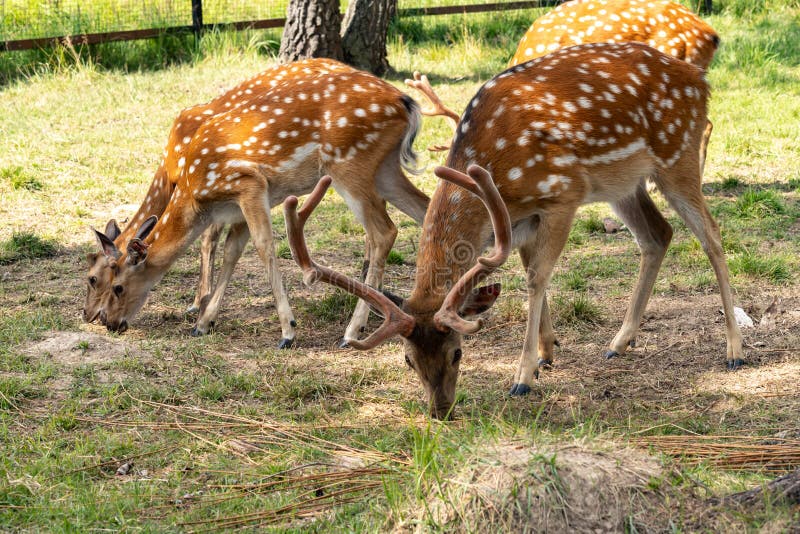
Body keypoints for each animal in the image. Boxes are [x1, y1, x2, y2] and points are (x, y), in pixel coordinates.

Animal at [94, 64, 429, 349]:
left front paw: (288, 331)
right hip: (384, 169)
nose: (104, 320)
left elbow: (263, 244)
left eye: (114, 285)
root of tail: (406, 102)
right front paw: (203, 323)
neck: (192, 191)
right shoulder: (240, 206)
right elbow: (232, 250)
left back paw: (352, 332)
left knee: (383, 232)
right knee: (425, 208)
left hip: (350, 163)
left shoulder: (248, 183)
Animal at [287, 42, 745, 419]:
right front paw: (547, 353)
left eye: (457, 353)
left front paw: (522, 376)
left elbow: (536, 277)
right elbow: (529, 270)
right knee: (658, 235)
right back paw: (619, 343)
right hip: (624, 184)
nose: (440, 410)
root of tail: (701, 79)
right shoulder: (521, 219)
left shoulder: (562, 195)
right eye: (408, 360)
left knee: (712, 235)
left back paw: (734, 351)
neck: (495, 163)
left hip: (677, 154)